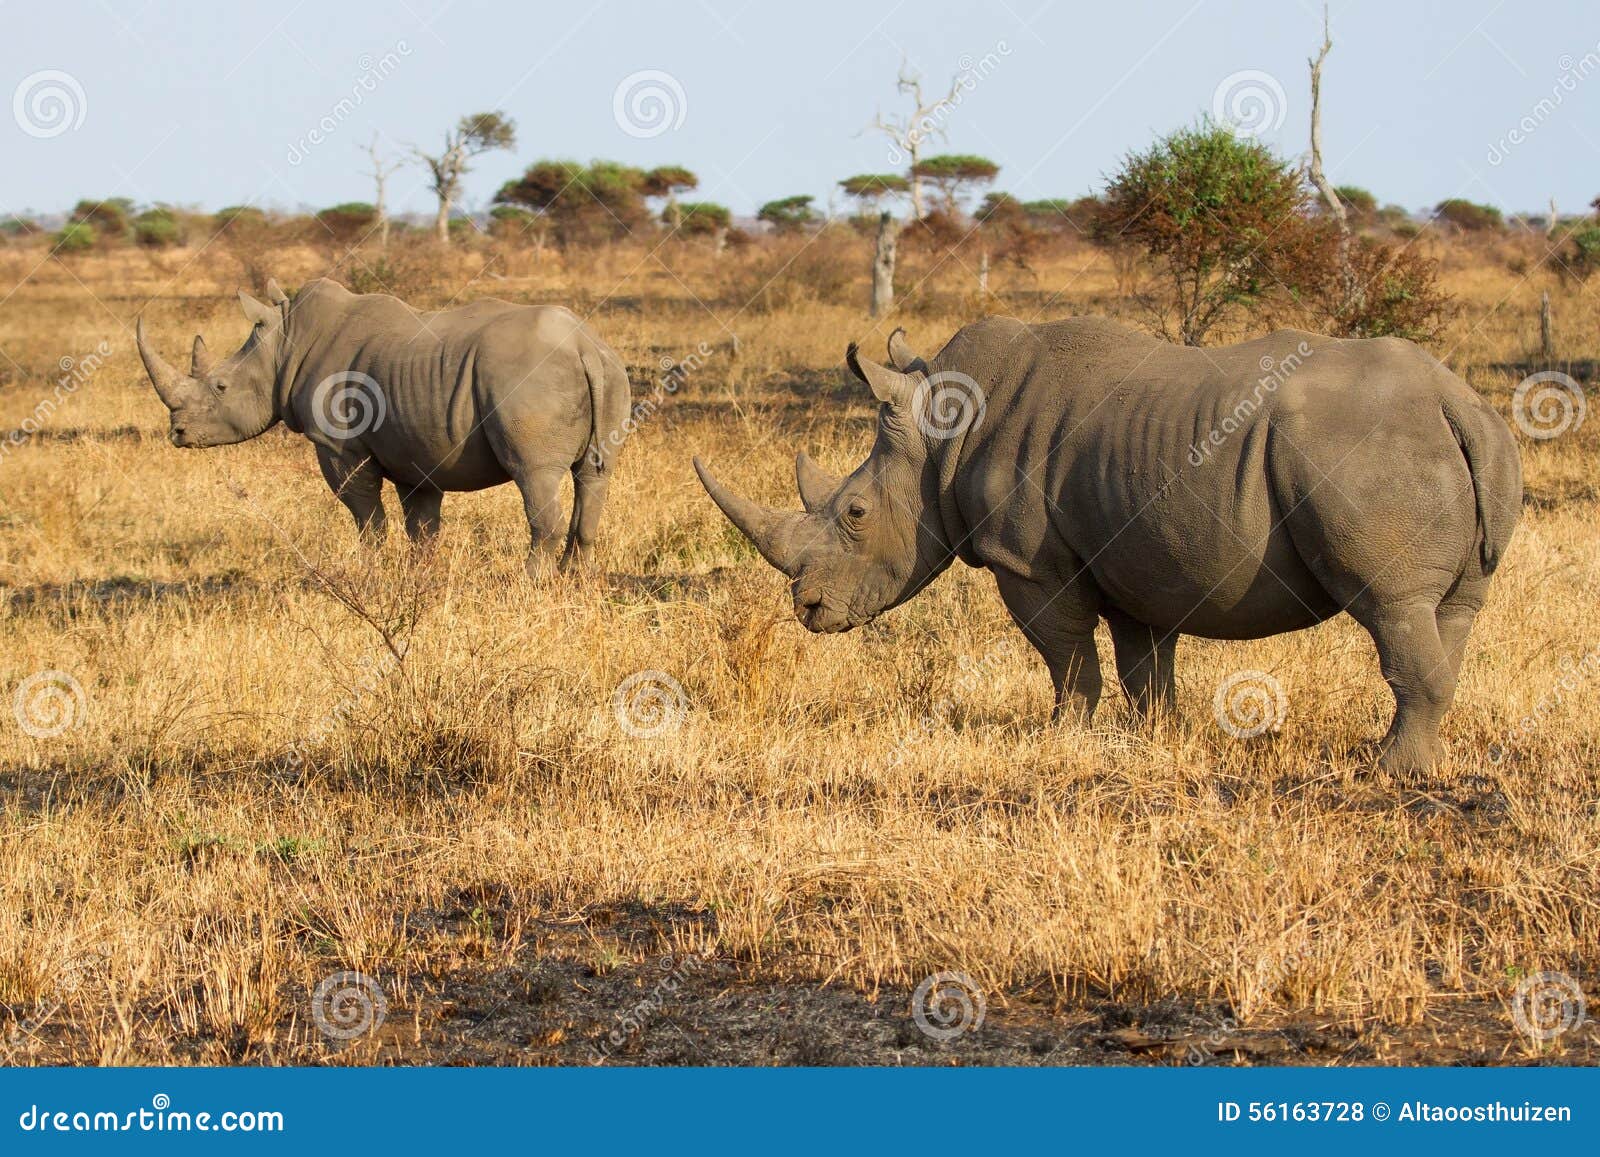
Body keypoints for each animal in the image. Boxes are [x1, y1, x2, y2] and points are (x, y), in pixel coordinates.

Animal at [137, 277, 632, 574]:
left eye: (220, 386)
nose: (177, 432)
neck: (284, 347)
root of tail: (583, 346)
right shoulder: (418, 444)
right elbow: (422, 524)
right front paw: (420, 577)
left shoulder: (337, 445)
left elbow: (366, 515)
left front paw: (369, 573)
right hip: (610, 370)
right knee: (594, 474)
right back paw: (573, 580)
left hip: (529, 381)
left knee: (534, 475)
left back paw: (527, 585)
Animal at [694, 317, 1522, 774]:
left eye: (856, 513)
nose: (807, 608)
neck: (942, 433)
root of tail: (1451, 398)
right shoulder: (1133, 552)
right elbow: (1143, 663)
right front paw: (1160, 737)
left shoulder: (1028, 560)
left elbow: (1065, 655)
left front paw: (1059, 736)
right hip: (1472, 441)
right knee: (1451, 611)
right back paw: (1421, 757)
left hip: (1368, 451)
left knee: (1393, 604)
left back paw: (1390, 770)